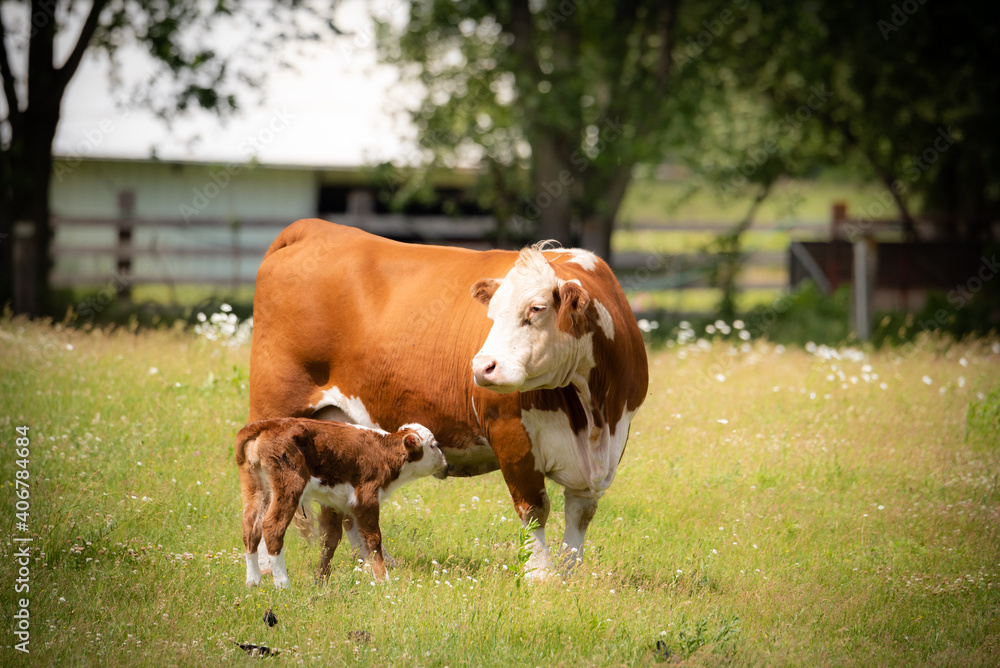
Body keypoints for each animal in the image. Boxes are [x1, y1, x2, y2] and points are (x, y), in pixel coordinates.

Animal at [236, 418, 447, 587]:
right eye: (434, 444)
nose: (446, 463)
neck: (382, 453)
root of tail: (270, 424)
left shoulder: (335, 503)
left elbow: (331, 540)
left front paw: (321, 579)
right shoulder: (366, 498)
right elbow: (373, 539)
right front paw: (383, 579)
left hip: (257, 488)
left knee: (251, 527)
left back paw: (253, 582)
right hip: (289, 486)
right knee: (272, 527)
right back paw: (283, 585)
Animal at [248, 218, 648, 578]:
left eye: (537, 308)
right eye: (491, 313)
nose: (482, 366)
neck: (592, 415)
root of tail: (315, 227)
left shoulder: (610, 445)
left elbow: (580, 514)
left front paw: (568, 575)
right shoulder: (511, 434)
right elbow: (534, 509)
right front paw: (540, 576)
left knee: (343, 512)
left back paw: (371, 565)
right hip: (274, 412)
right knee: (262, 499)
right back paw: (267, 568)